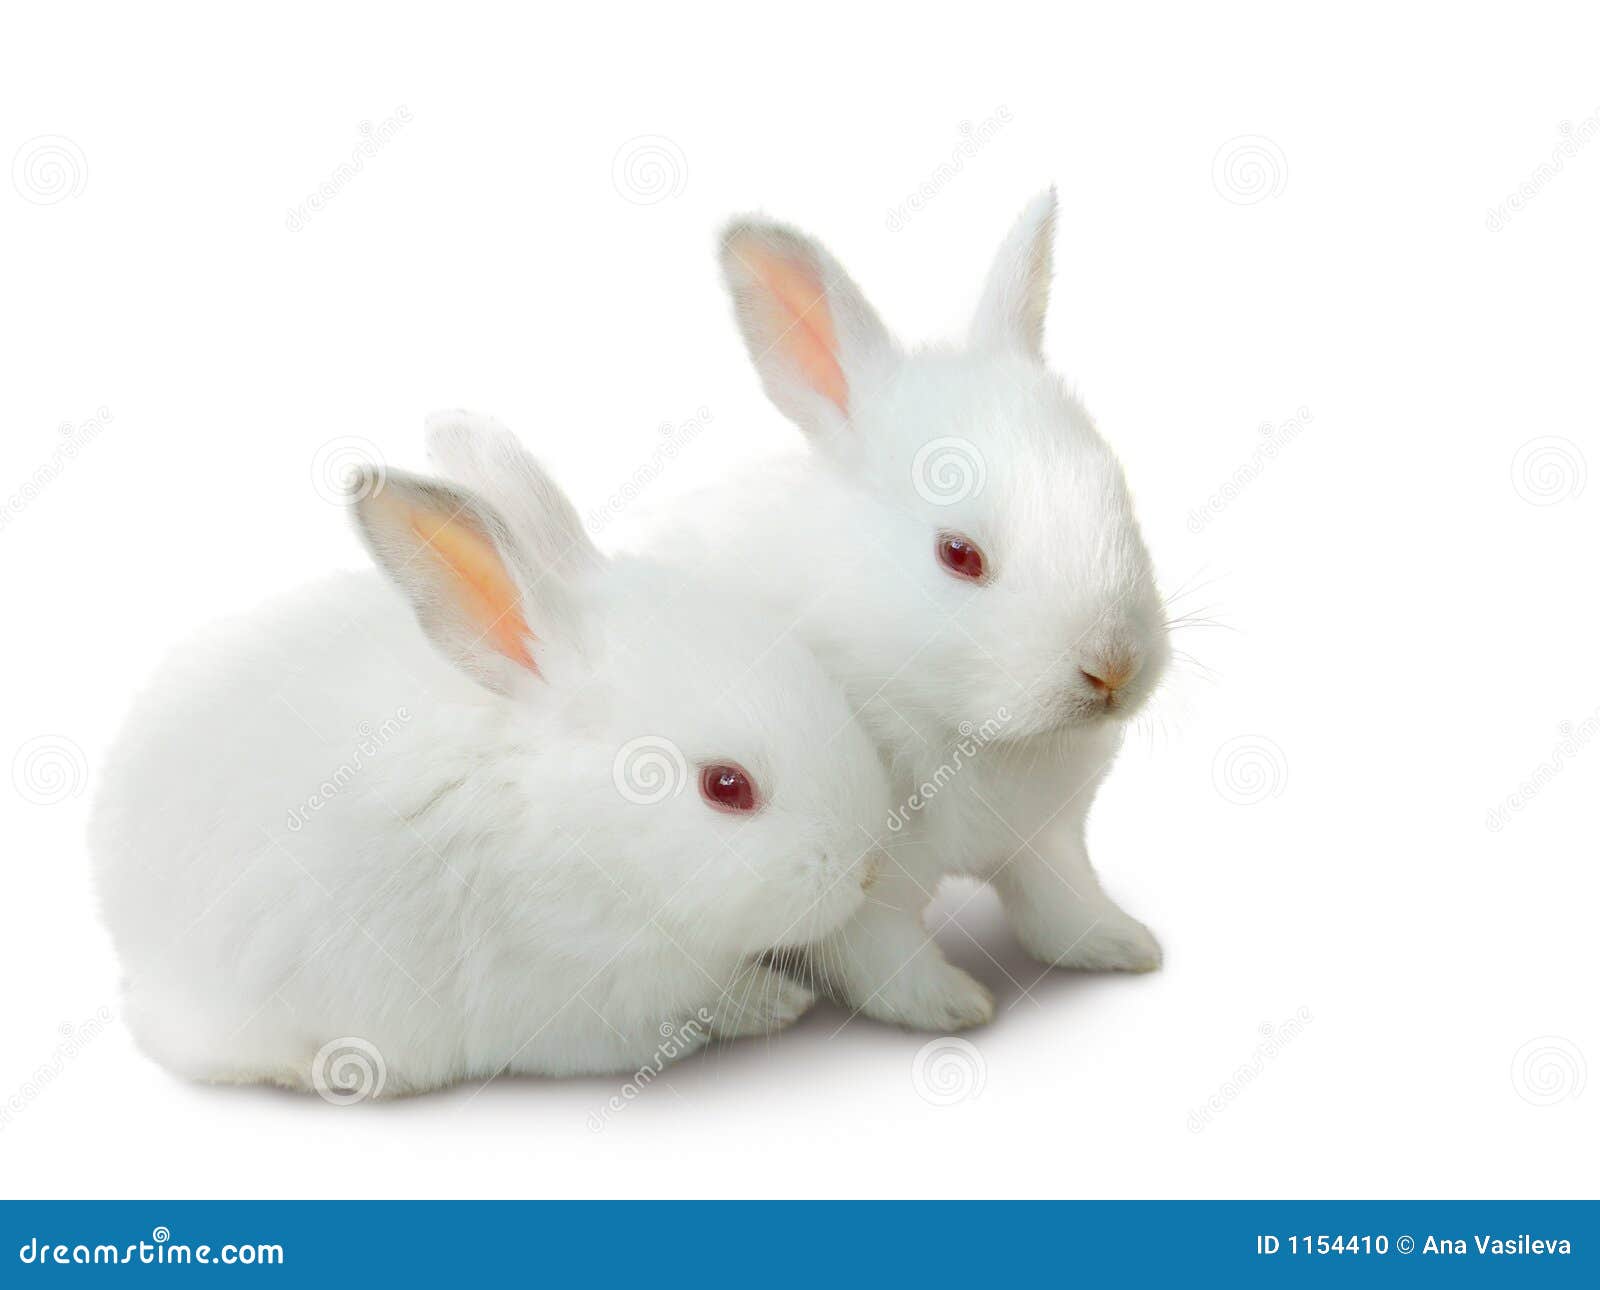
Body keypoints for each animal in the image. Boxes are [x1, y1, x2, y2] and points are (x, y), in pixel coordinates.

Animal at [620, 191, 1171, 1031]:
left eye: (1119, 498)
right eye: (959, 554)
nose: (1112, 667)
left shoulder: (1045, 842)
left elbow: (1060, 906)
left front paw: (1123, 946)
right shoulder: (861, 892)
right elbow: (884, 959)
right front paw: (954, 1007)